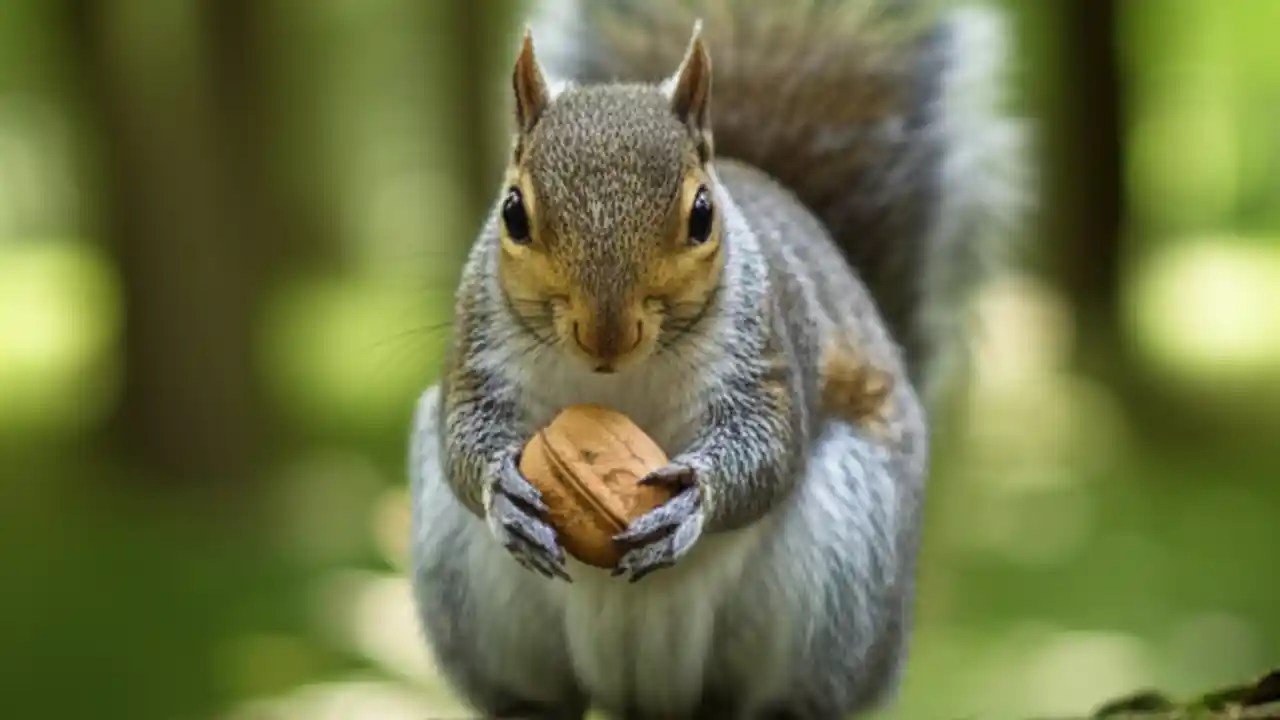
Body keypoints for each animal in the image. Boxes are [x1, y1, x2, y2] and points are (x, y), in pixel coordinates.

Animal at [409, 0, 1023, 718]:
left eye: (702, 214)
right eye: (512, 212)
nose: (606, 336)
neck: (616, 380)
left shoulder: (769, 346)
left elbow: (770, 449)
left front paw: (693, 499)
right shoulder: (477, 346)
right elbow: (461, 436)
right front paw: (501, 488)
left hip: (843, 571)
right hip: (471, 594)